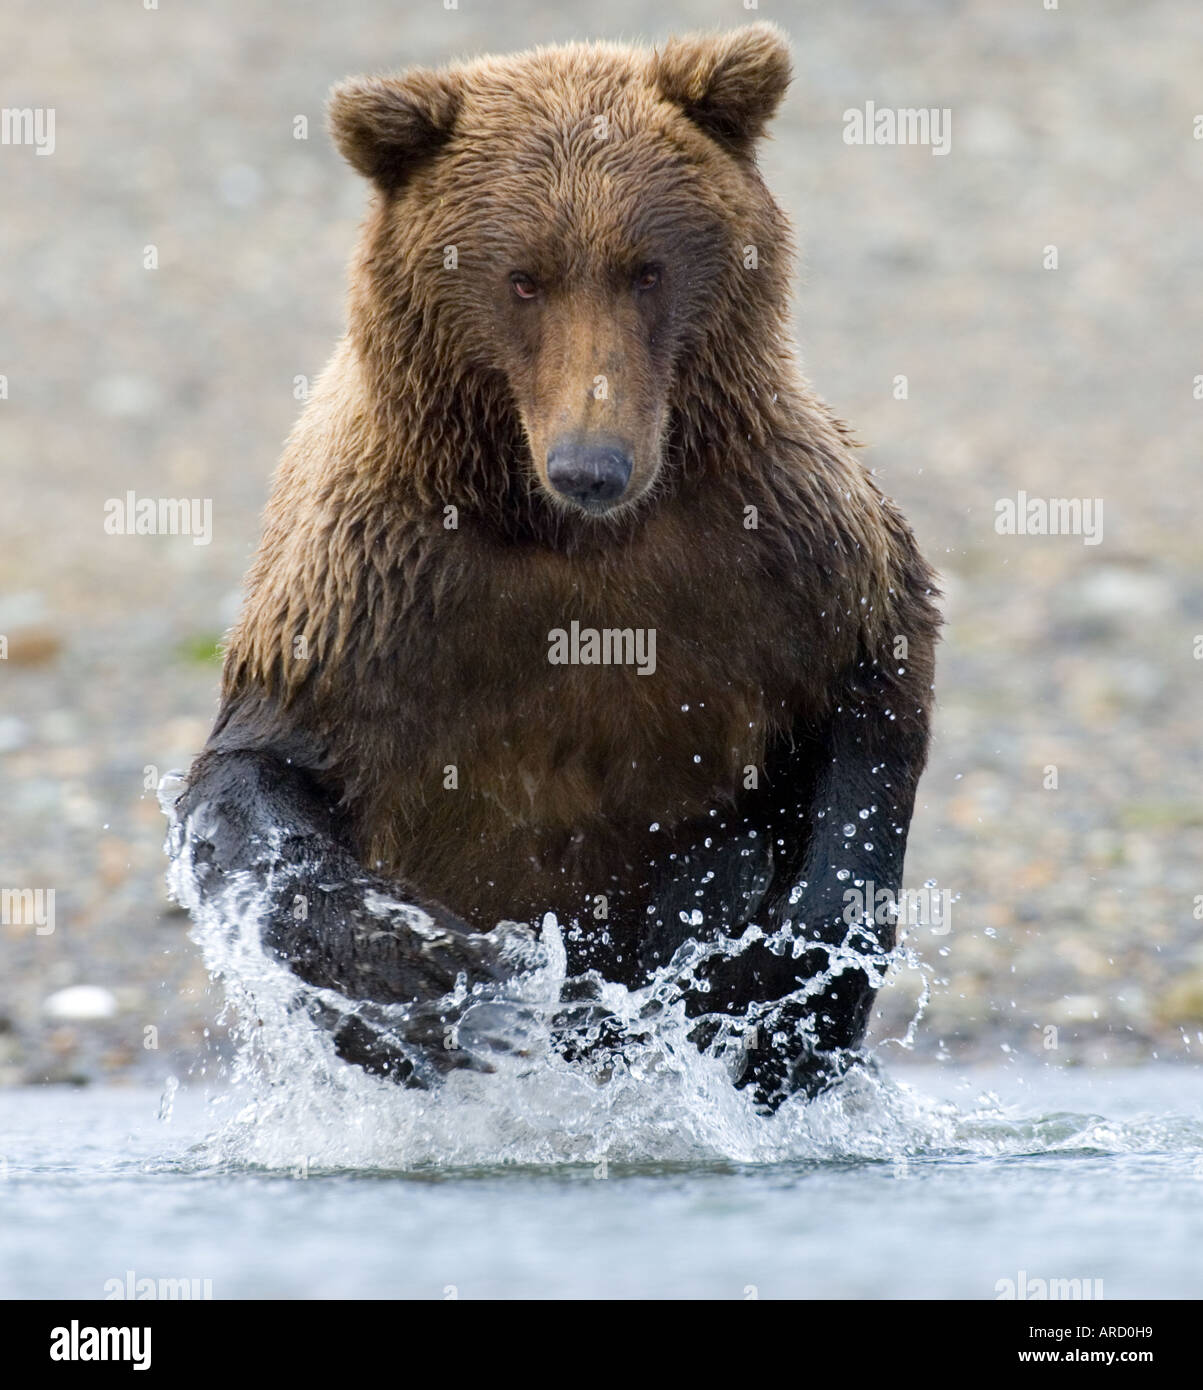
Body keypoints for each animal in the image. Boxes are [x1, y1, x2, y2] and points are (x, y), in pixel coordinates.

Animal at [171, 23, 940, 1112]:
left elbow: (868, 703)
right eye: (522, 277)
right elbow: (262, 785)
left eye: (645, 269)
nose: (592, 463)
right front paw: (467, 988)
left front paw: (775, 997)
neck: (570, 535)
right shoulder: (372, 592)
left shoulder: (784, 549)